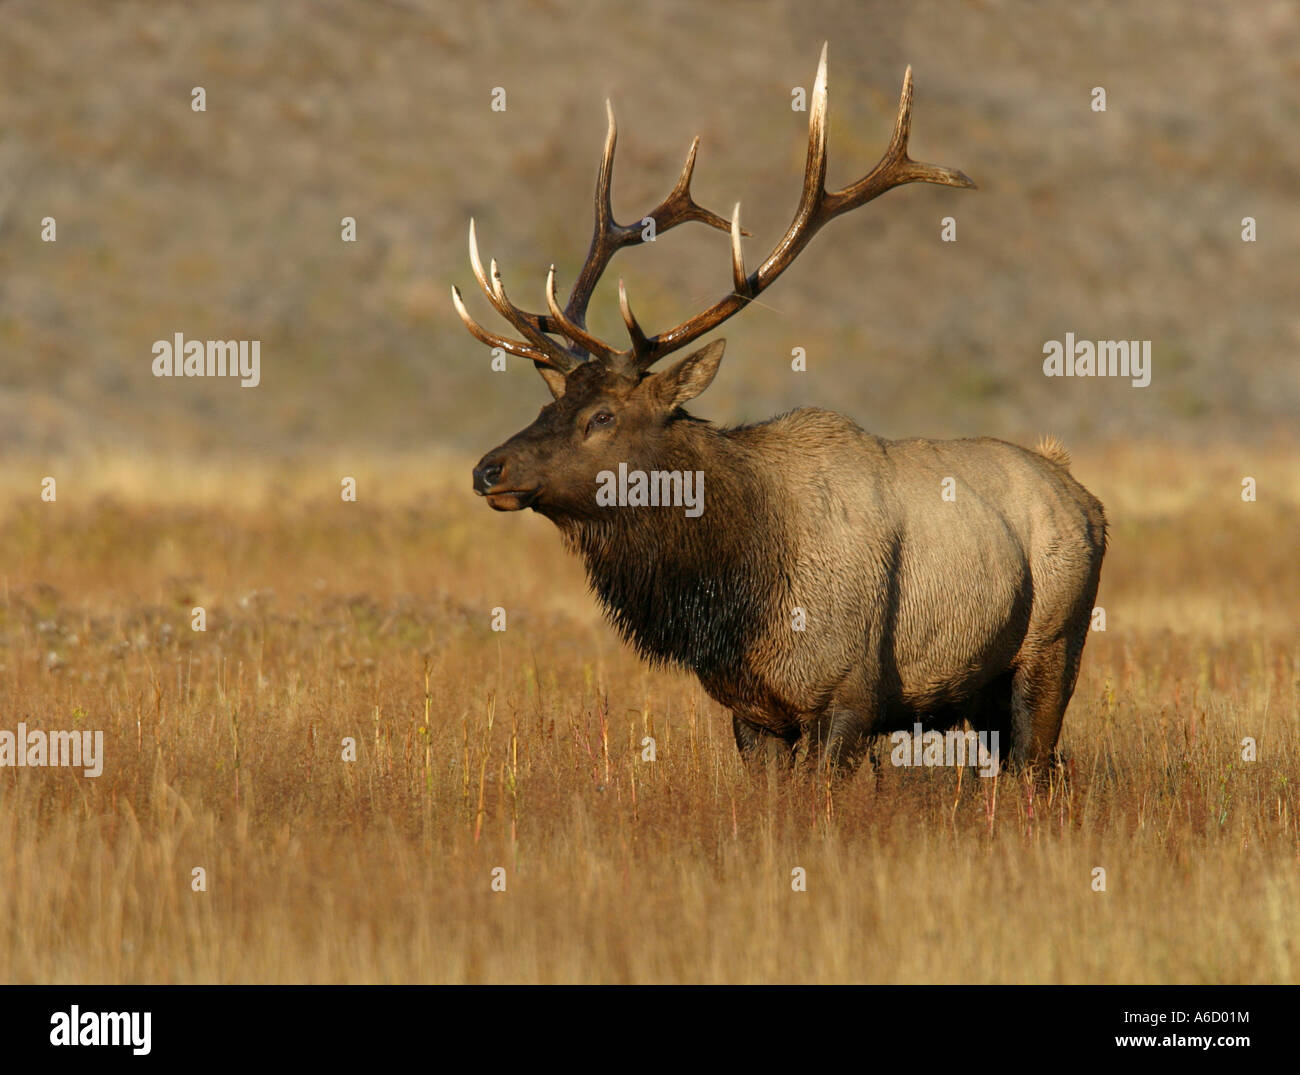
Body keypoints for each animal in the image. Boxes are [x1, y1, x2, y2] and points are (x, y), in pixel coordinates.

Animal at [452, 45, 1107, 781]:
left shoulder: (848, 694)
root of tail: (1083, 494)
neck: (738, 590)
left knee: (1038, 762)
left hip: (1052, 648)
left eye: (602, 417)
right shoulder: (752, 711)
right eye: (552, 401)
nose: (488, 469)